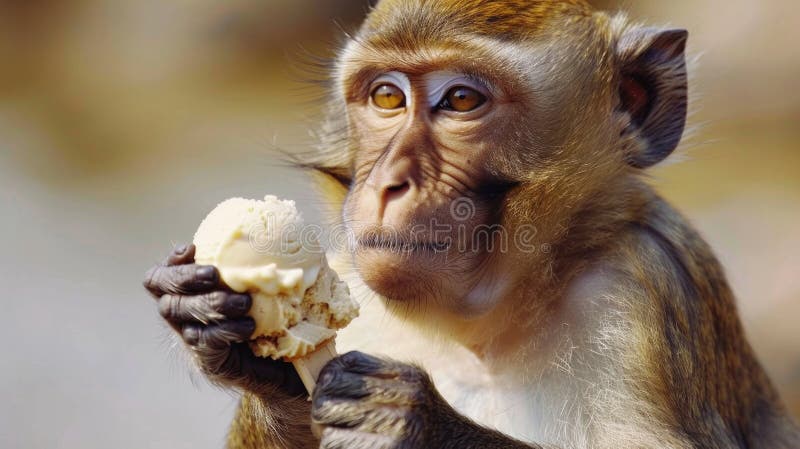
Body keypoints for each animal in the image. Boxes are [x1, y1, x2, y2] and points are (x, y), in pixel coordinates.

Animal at [143, 1, 800, 448]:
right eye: (387, 97)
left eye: (461, 101)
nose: (389, 183)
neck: (482, 338)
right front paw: (255, 362)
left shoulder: (642, 292)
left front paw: (414, 421)